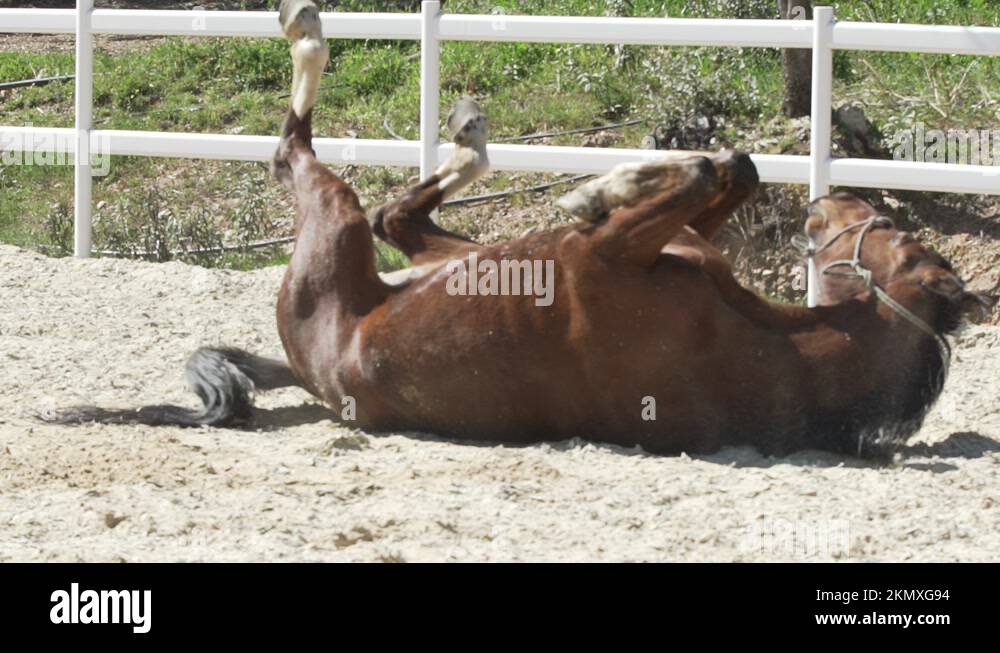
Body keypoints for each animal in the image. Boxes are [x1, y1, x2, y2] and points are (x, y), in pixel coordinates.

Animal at [48, 0, 992, 458]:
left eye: (898, 240)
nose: (839, 204)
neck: (774, 344)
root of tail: (318, 376)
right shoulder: (660, 243)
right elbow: (730, 169)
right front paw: (612, 183)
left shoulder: (604, 260)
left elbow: (699, 175)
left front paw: (600, 190)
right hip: (440, 253)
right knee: (401, 212)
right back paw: (469, 137)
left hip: (332, 242)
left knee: (306, 163)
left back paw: (307, 29)